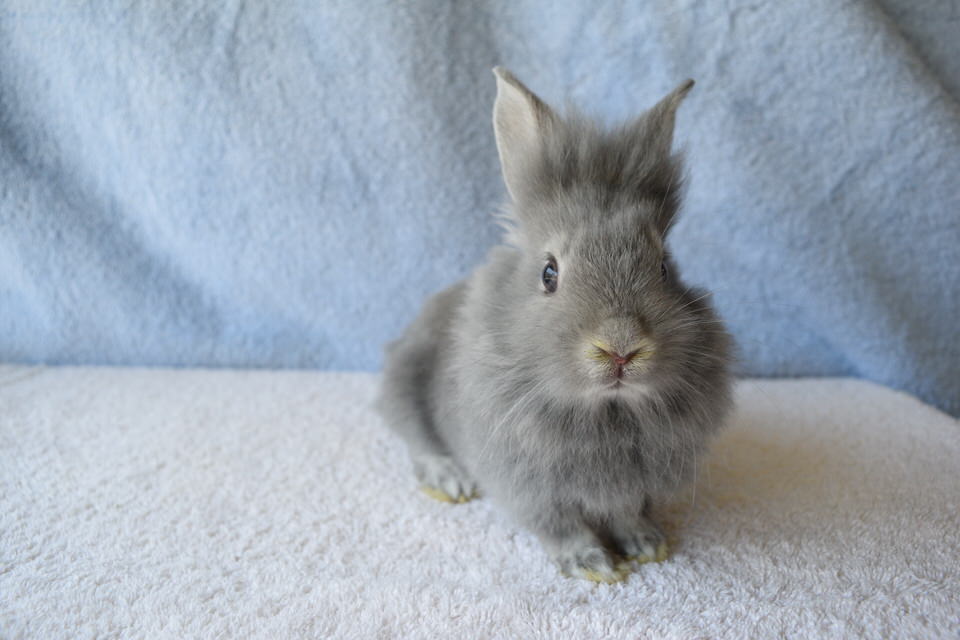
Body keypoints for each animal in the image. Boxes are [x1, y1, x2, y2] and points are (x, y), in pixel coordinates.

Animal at [378, 67, 733, 583]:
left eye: (665, 267)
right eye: (549, 273)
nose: (621, 347)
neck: (607, 411)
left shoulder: (629, 488)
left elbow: (627, 513)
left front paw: (648, 545)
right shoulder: (530, 489)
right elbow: (561, 527)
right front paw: (593, 565)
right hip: (405, 382)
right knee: (416, 441)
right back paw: (452, 479)